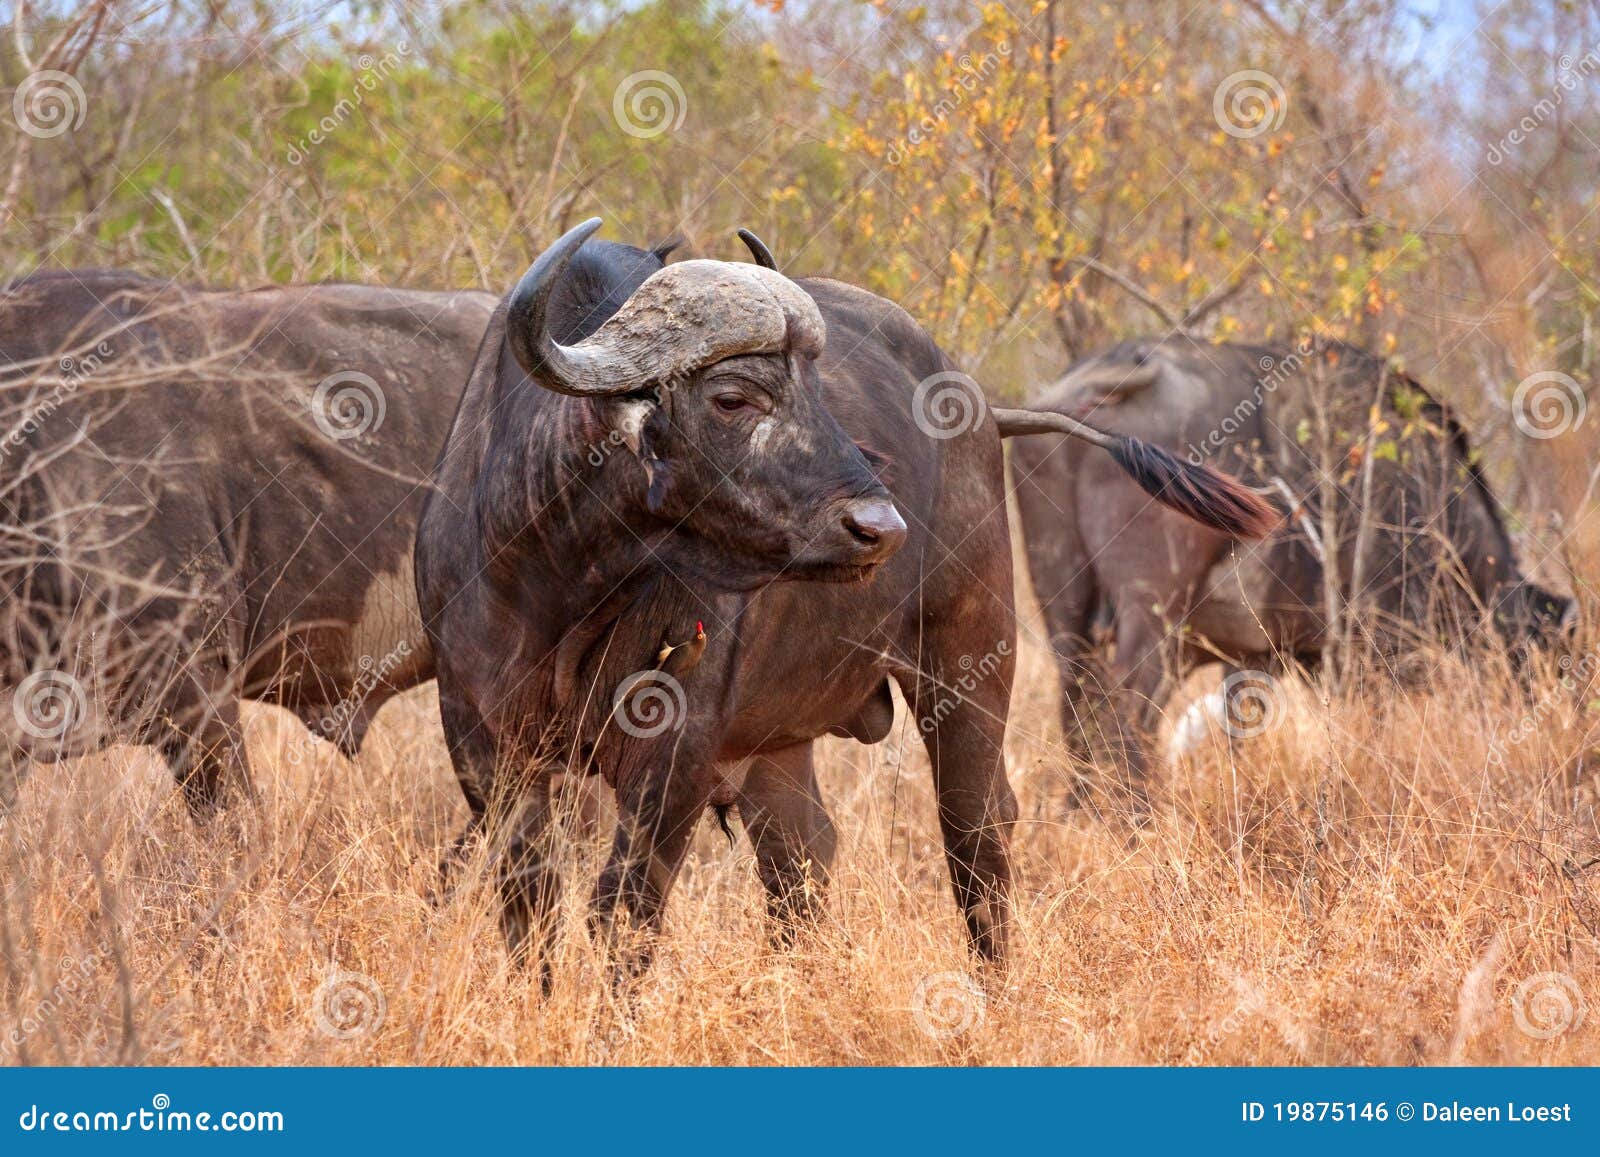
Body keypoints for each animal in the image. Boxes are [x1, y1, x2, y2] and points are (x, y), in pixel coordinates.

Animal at [416, 219, 1276, 983]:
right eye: (733, 397)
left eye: (814, 389)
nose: (881, 525)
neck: (565, 587)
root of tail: (982, 410)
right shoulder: (485, 747)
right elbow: (530, 908)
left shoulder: (676, 754)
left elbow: (622, 914)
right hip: (774, 736)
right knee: (801, 853)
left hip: (972, 659)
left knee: (976, 827)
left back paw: (995, 985)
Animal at [1011, 336, 1575, 789]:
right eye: (1558, 661)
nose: (1550, 723)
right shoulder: (1381, 649)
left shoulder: (1251, 659)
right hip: (1153, 615)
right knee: (1126, 714)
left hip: (1066, 608)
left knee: (1078, 711)